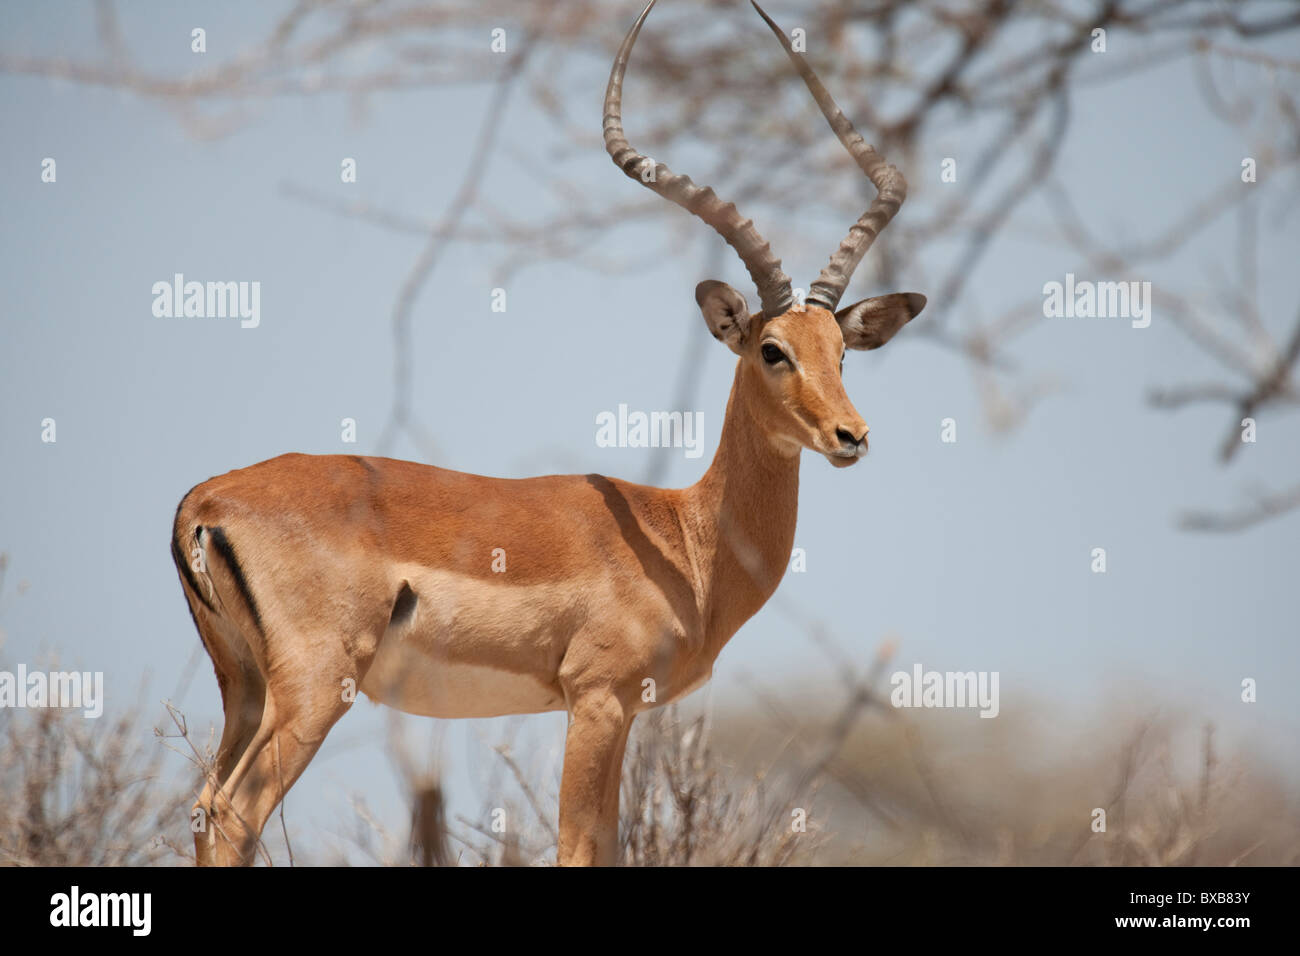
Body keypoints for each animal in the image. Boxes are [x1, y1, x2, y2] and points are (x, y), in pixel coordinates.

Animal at [171, 0, 925, 867]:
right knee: (236, 811)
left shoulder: (623, 711)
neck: (685, 542)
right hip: (316, 689)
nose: (850, 435)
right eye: (773, 350)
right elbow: (575, 848)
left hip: (246, 690)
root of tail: (204, 500)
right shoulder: (596, 701)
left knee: (204, 805)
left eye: (842, 351)